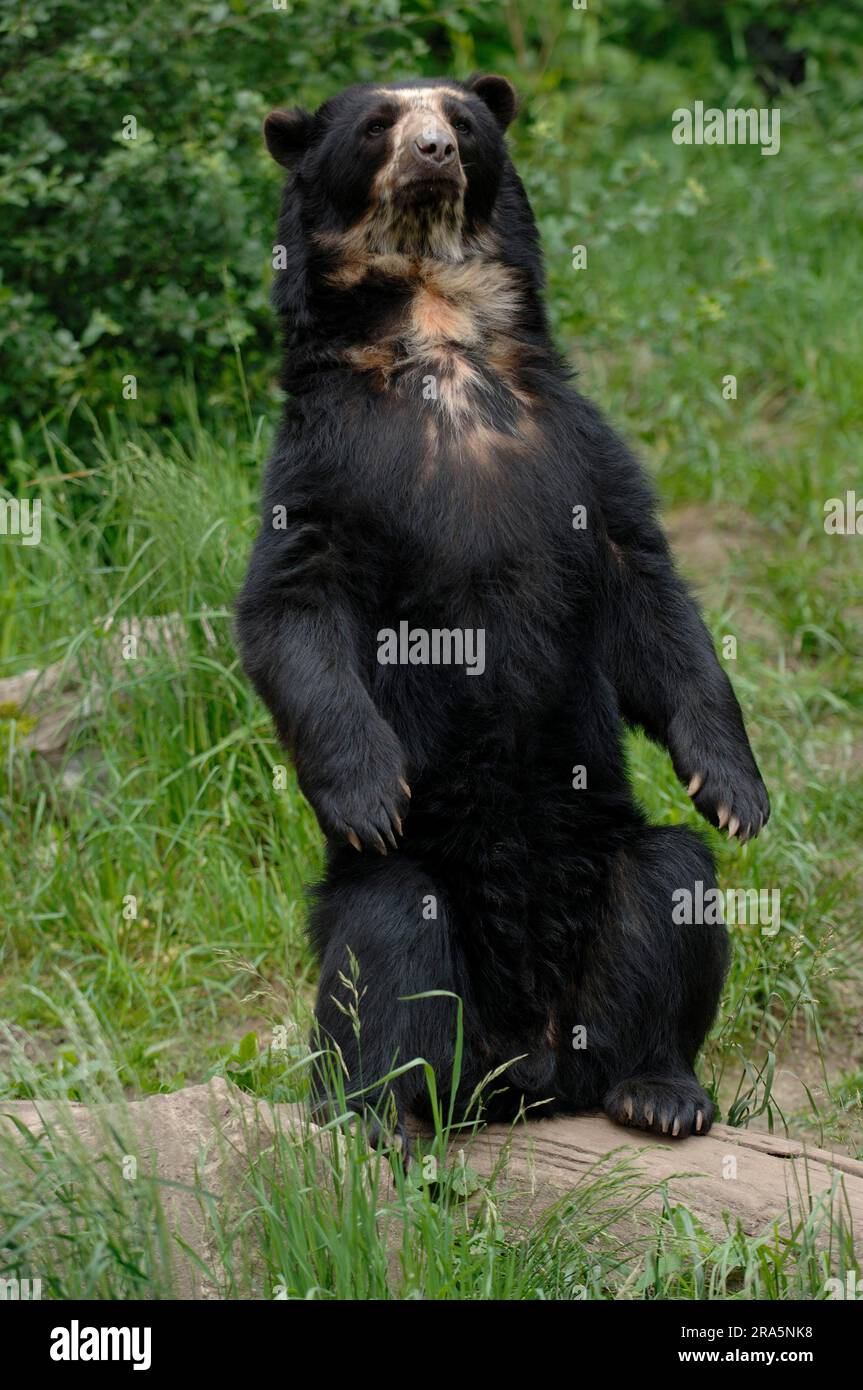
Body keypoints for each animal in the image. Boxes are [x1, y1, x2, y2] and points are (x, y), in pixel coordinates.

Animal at [236, 75, 770, 1151]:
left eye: (461, 117)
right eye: (378, 124)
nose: (436, 152)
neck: (442, 332)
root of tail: (520, 1069)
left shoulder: (579, 448)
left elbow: (649, 593)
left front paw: (737, 790)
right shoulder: (325, 460)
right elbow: (292, 602)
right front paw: (368, 793)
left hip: (606, 885)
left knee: (671, 888)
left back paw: (657, 1090)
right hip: (409, 911)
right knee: (387, 941)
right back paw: (382, 1116)